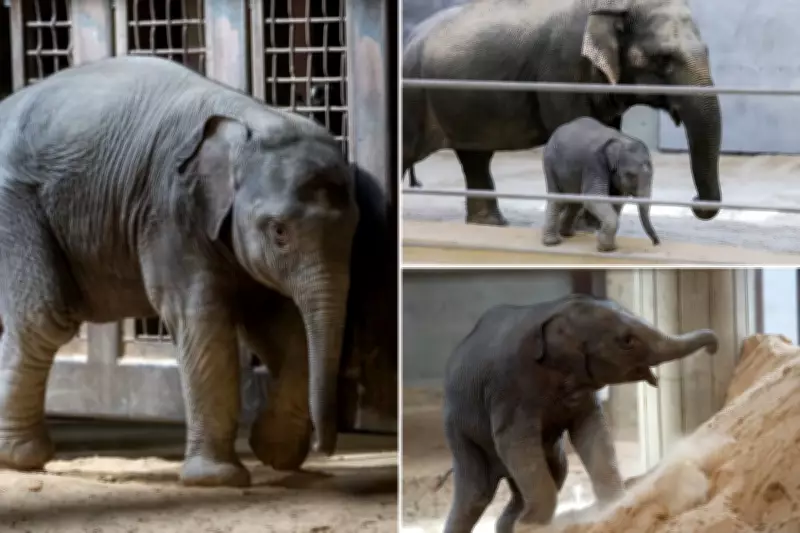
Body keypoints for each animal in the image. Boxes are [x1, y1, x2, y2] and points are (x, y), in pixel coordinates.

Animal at [0, 55, 362, 488]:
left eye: (353, 230)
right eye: (279, 232)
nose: (327, 449)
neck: (248, 119)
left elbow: (280, 323)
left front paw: (274, 453)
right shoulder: (169, 211)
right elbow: (202, 315)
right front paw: (217, 479)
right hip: (14, 204)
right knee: (42, 318)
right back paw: (20, 457)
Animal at [402, 0, 723, 227]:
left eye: (708, 50)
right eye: (663, 58)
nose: (695, 200)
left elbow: (606, 128)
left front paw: (591, 225)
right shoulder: (561, 68)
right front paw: (584, 226)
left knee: (475, 157)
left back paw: (491, 223)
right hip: (415, 94)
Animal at [441, 294, 718, 532]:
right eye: (627, 341)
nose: (713, 348)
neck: (556, 310)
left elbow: (592, 432)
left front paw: (615, 505)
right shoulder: (510, 390)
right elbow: (515, 444)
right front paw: (531, 525)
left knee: (554, 471)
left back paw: (511, 523)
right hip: (459, 433)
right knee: (475, 496)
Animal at [542, 116, 660, 252]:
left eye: (652, 175)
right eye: (631, 175)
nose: (656, 243)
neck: (621, 139)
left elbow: (616, 200)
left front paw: (609, 245)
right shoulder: (594, 163)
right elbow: (594, 197)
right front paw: (605, 247)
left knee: (575, 201)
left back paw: (567, 234)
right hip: (550, 164)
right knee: (558, 198)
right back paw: (552, 242)